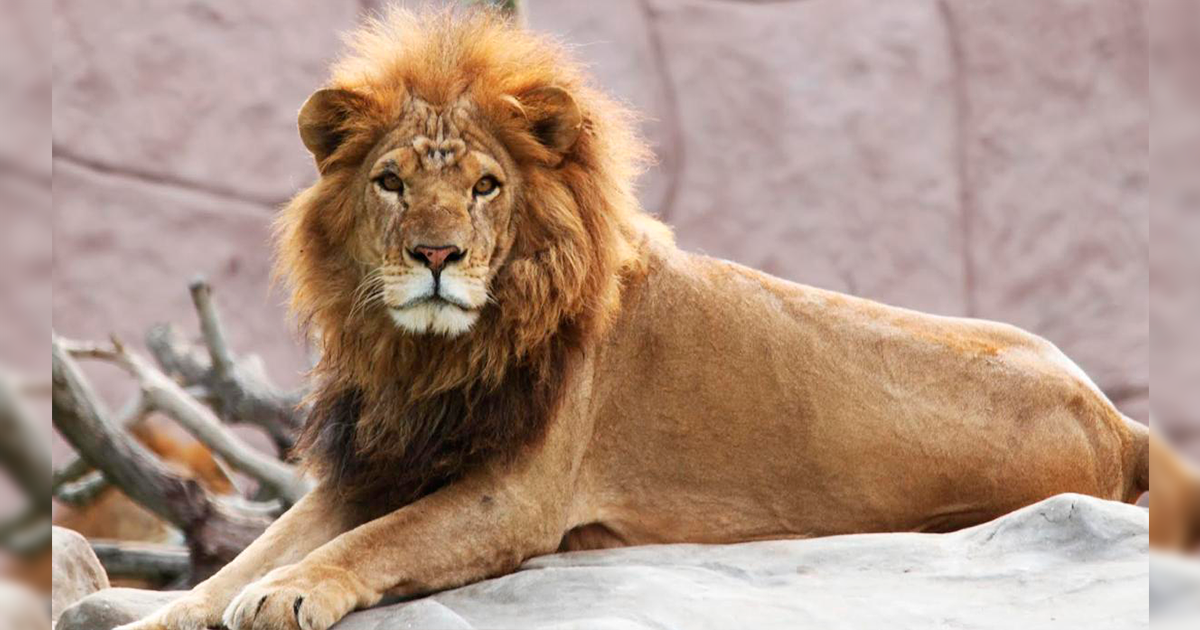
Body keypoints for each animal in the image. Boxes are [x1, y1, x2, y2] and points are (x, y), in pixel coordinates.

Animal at [120, 8, 1176, 630]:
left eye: (485, 187)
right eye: (391, 183)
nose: (435, 257)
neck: (427, 360)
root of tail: (1116, 416)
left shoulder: (516, 494)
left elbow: (373, 542)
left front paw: (292, 591)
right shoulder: (380, 459)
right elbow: (247, 555)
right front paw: (171, 610)